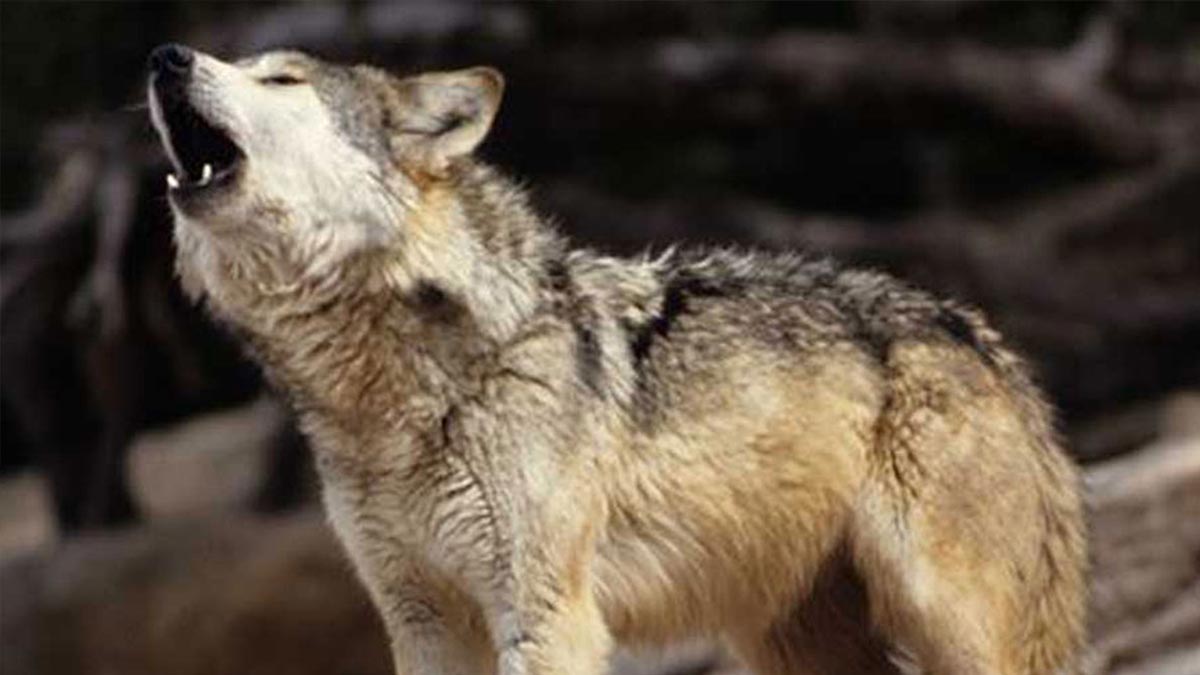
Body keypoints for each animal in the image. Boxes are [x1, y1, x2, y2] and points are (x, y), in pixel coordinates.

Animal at [146, 43, 1087, 674]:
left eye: (281, 79)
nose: (165, 55)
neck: (393, 392)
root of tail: (981, 334)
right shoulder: (422, 619)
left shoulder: (544, 611)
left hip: (951, 620)